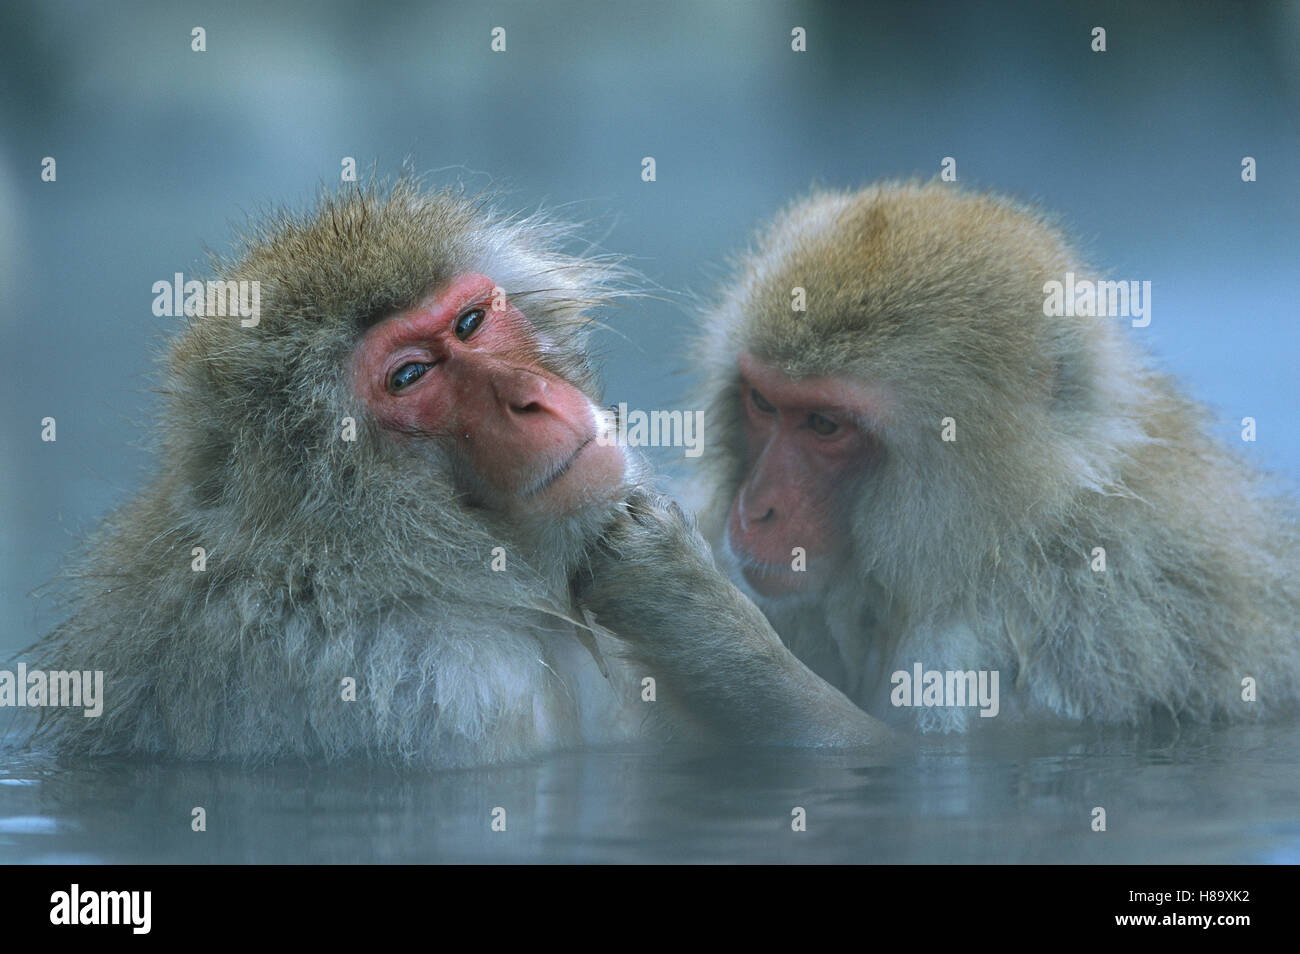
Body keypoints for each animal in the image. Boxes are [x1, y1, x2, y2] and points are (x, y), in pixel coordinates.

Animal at [693, 181, 1300, 732]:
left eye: (824, 425)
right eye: (762, 403)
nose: (755, 510)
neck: (1009, 532)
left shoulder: (1057, 622)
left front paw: (720, 636)